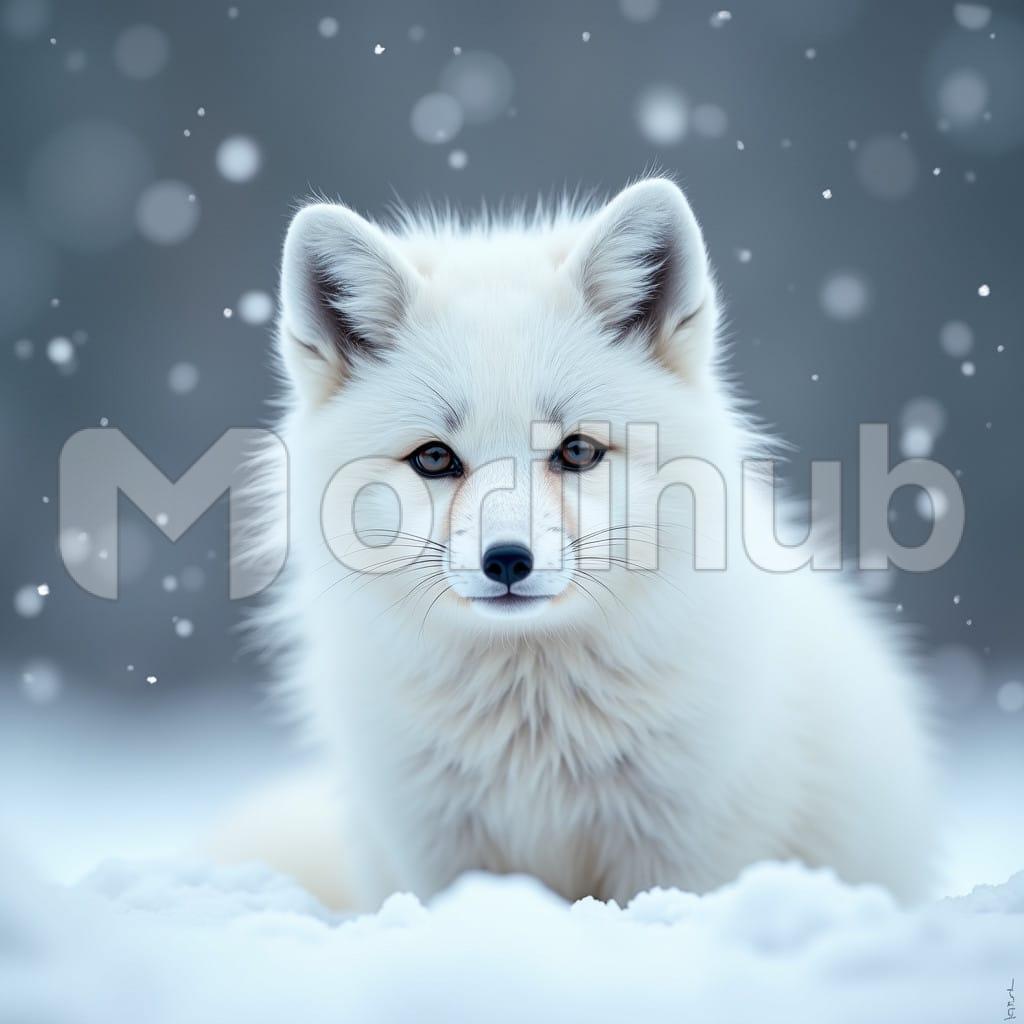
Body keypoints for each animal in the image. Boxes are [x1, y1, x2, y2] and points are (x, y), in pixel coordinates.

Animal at [222, 177, 937, 910]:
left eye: (578, 451)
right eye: (434, 459)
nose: (508, 560)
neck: (533, 723)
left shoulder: (683, 848)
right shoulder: (436, 849)